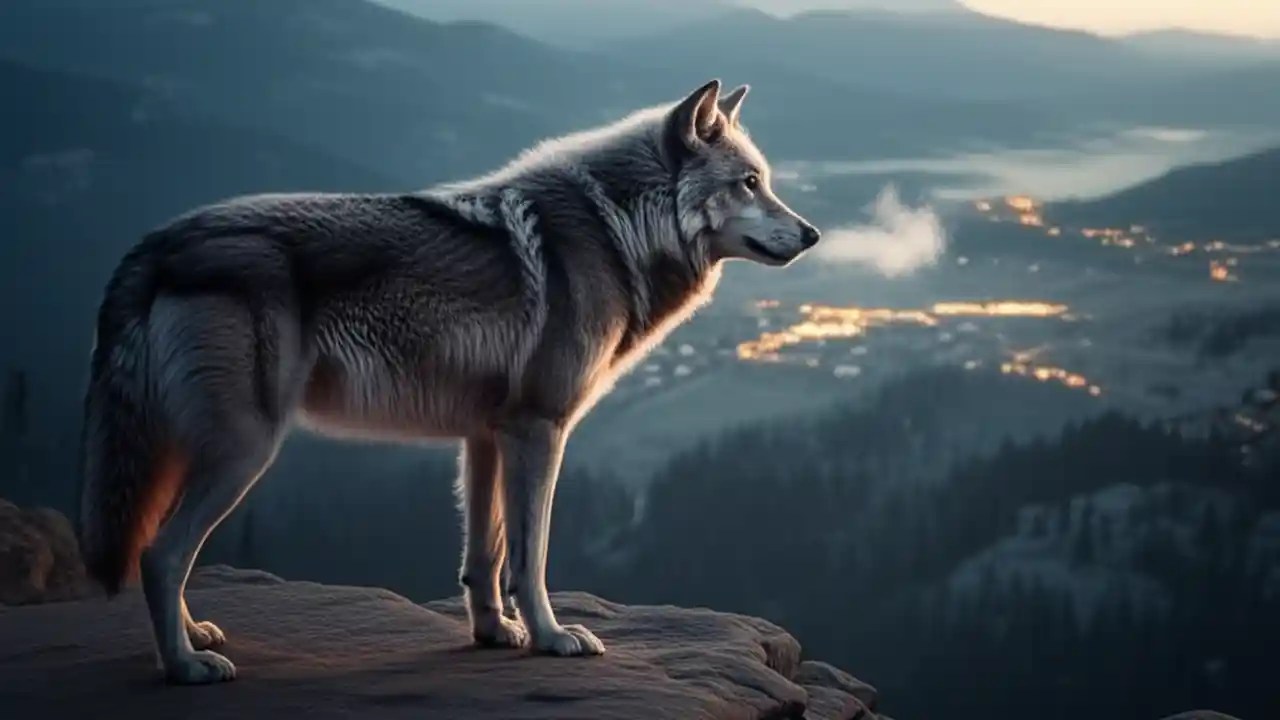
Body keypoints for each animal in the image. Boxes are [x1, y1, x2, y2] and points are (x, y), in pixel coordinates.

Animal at [77, 79, 820, 684]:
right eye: (749, 183)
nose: (813, 234)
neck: (618, 229)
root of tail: (152, 245)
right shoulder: (540, 431)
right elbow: (530, 556)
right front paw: (552, 638)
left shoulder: (486, 437)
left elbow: (485, 557)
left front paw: (496, 634)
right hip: (244, 452)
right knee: (160, 555)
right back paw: (184, 666)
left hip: (200, 452)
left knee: (158, 550)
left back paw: (193, 635)